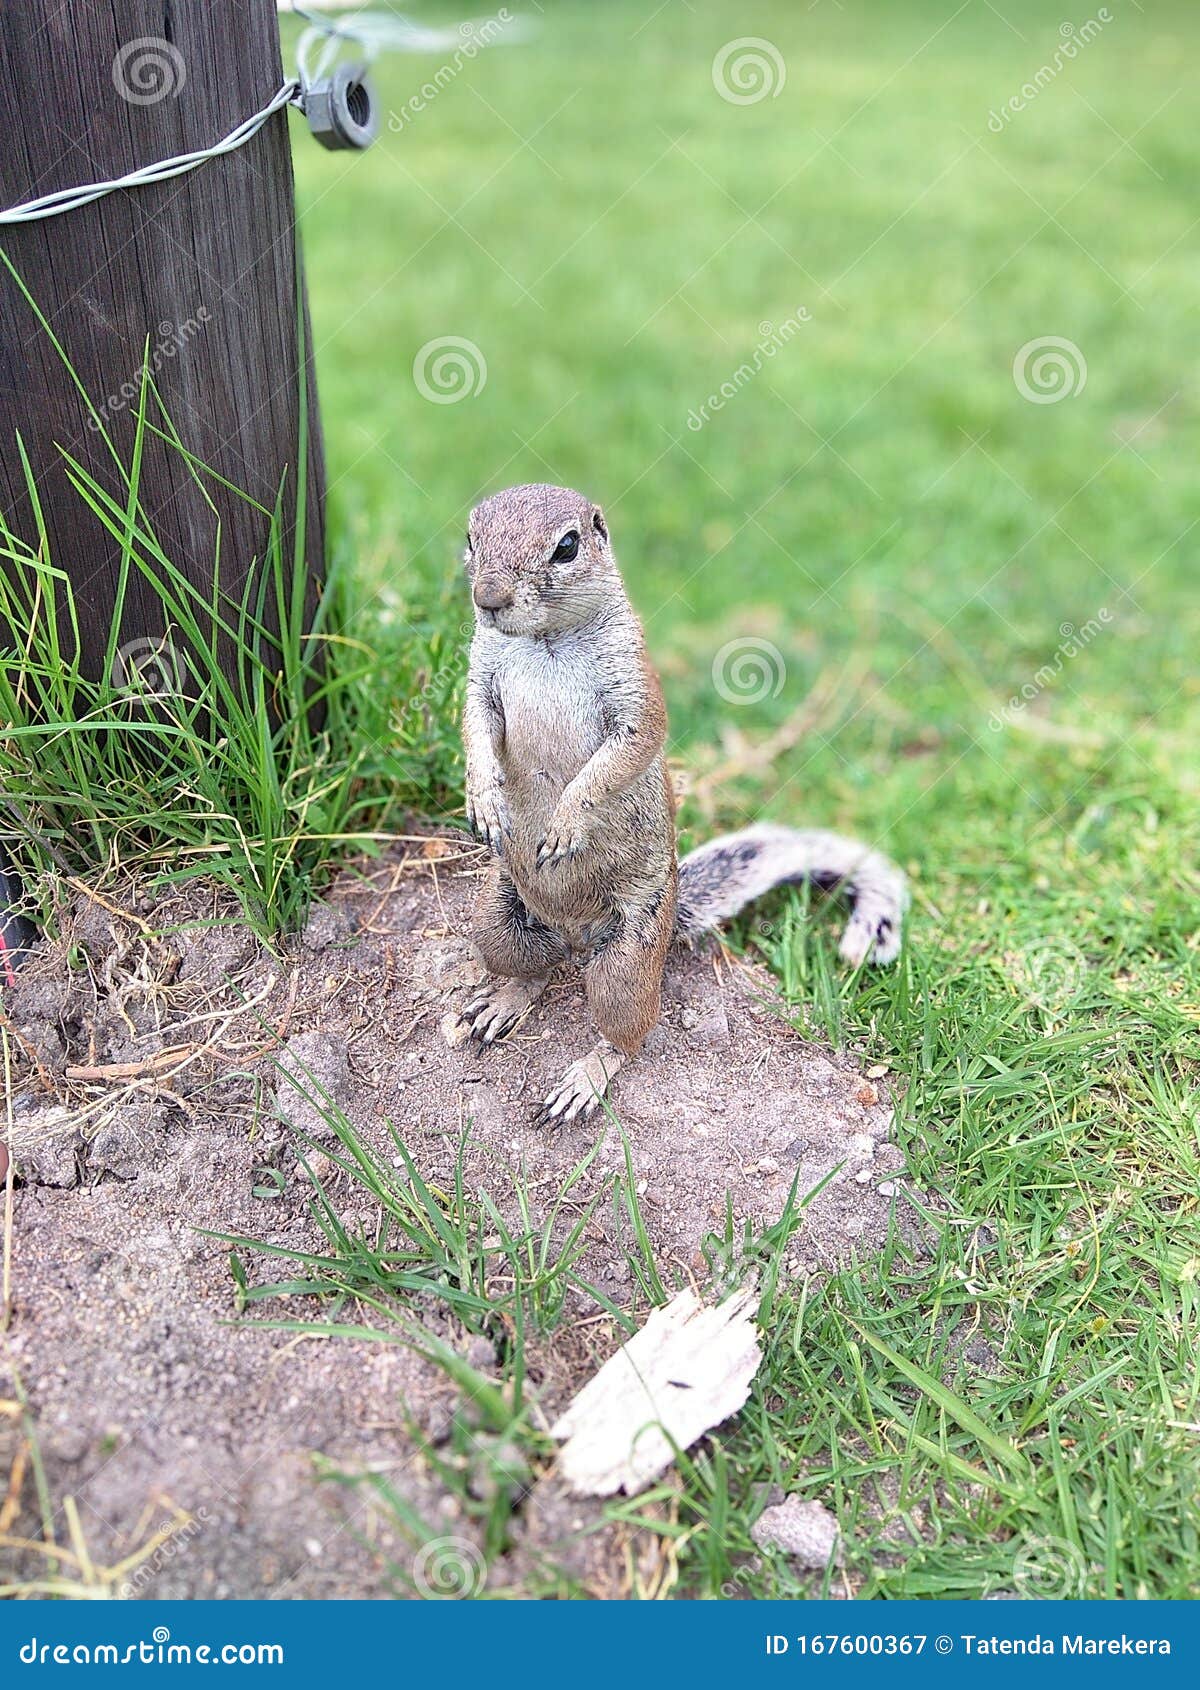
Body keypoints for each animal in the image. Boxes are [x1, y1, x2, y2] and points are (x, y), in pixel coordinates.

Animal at [458, 483, 907, 1124]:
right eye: (471, 537)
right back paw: (505, 1000)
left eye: (567, 546)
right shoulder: (481, 679)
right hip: (495, 920)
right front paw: (483, 797)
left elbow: (624, 751)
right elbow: (475, 726)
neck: (544, 642)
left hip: (628, 956)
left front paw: (567, 822)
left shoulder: (634, 693)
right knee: (535, 970)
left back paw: (587, 1076)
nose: (487, 598)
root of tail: (578, 938)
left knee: (628, 1031)